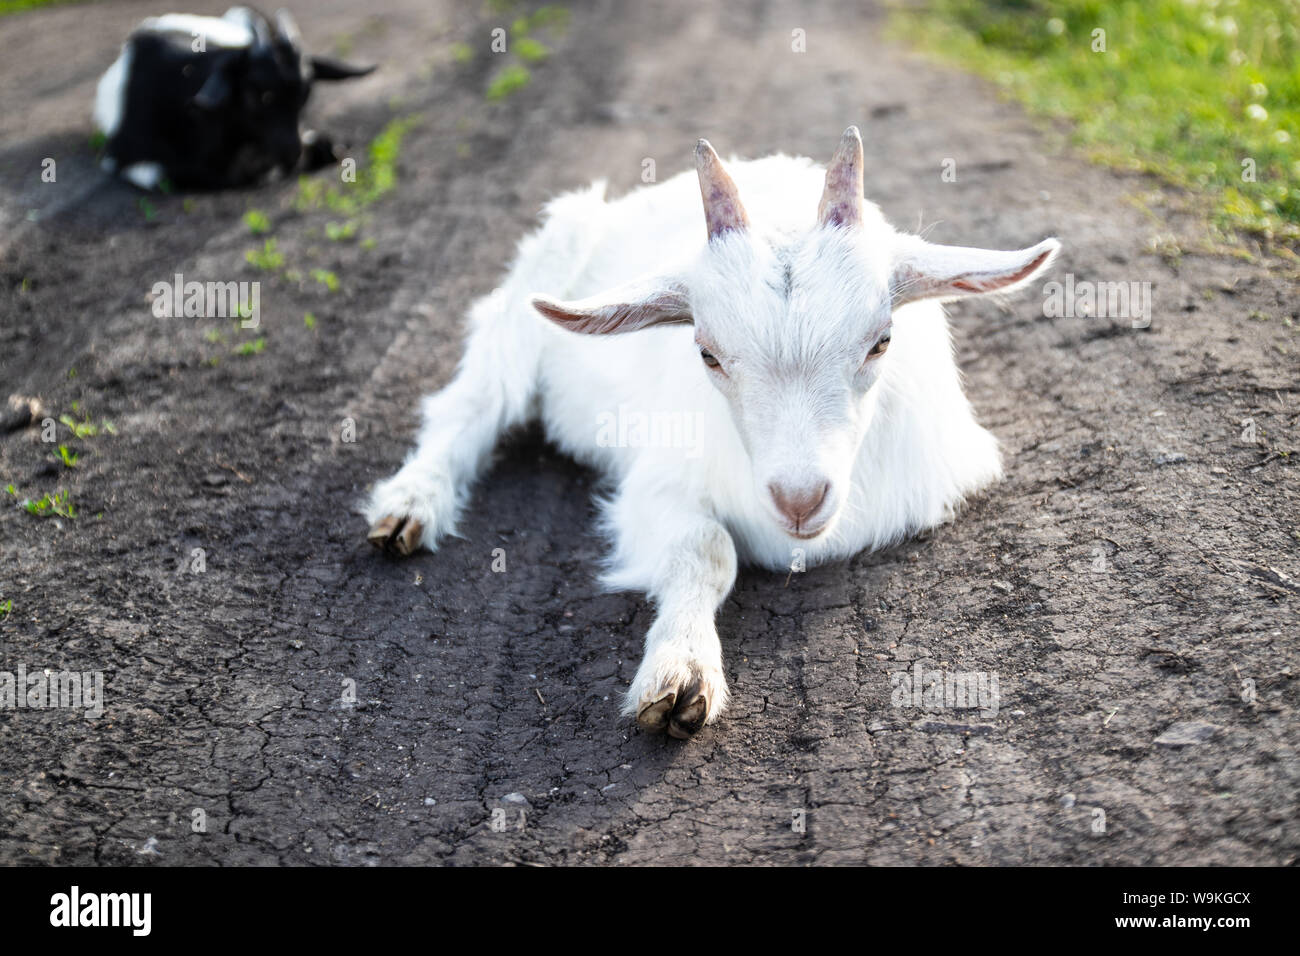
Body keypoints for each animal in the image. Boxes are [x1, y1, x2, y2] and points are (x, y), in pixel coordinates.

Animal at [365, 128, 1059, 739]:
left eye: (881, 340)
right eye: (708, 353)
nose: (799, 500)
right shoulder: (651, 487)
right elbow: (706, 546)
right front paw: (681, 674)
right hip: (525, 297)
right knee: (470, 406)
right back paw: (410, 506)